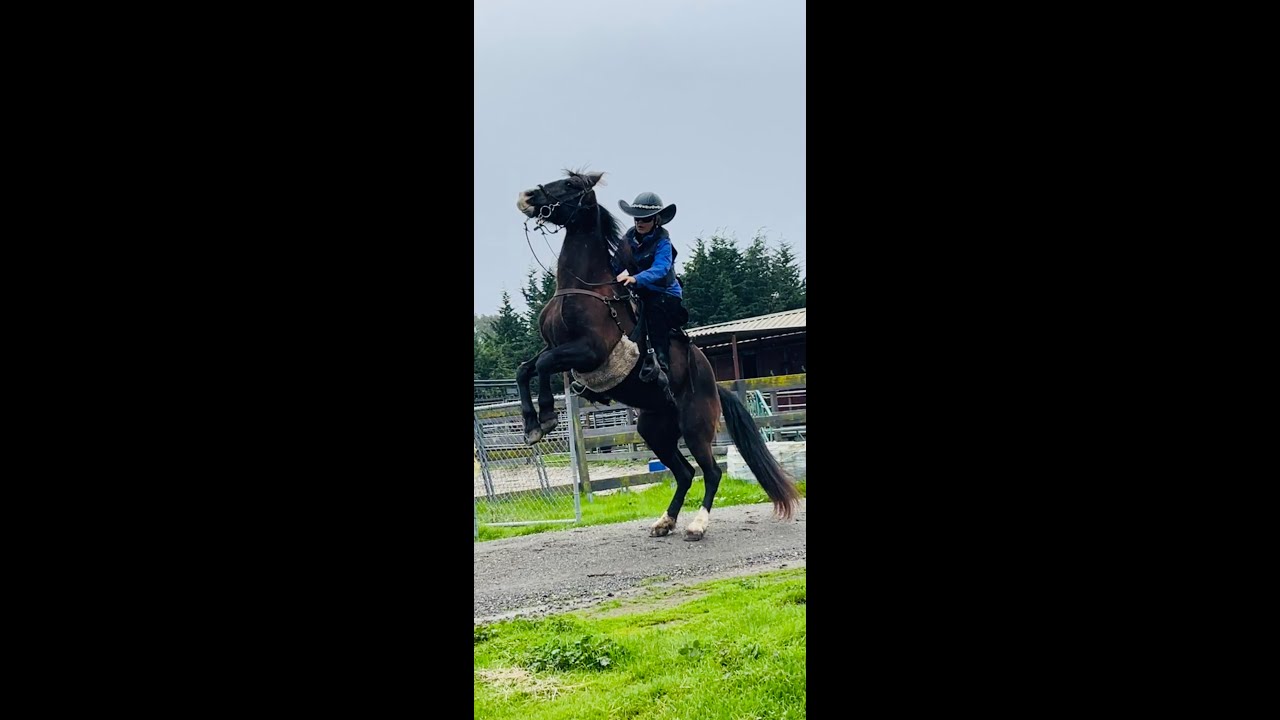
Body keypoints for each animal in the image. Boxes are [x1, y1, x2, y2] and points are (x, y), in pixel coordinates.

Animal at [513, 169, 800, 541]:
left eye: (571, 185)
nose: (528, 196)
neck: (586, 289)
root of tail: (714, 385)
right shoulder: (556, 348)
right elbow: (525, 369)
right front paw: (531, 424)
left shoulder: (587, 352)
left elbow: (544, 366)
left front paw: (546, 417)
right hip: (654, 431)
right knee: (685, 473)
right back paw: (666, 521)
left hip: (695, 428)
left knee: (710, 472)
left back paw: (697, 525)